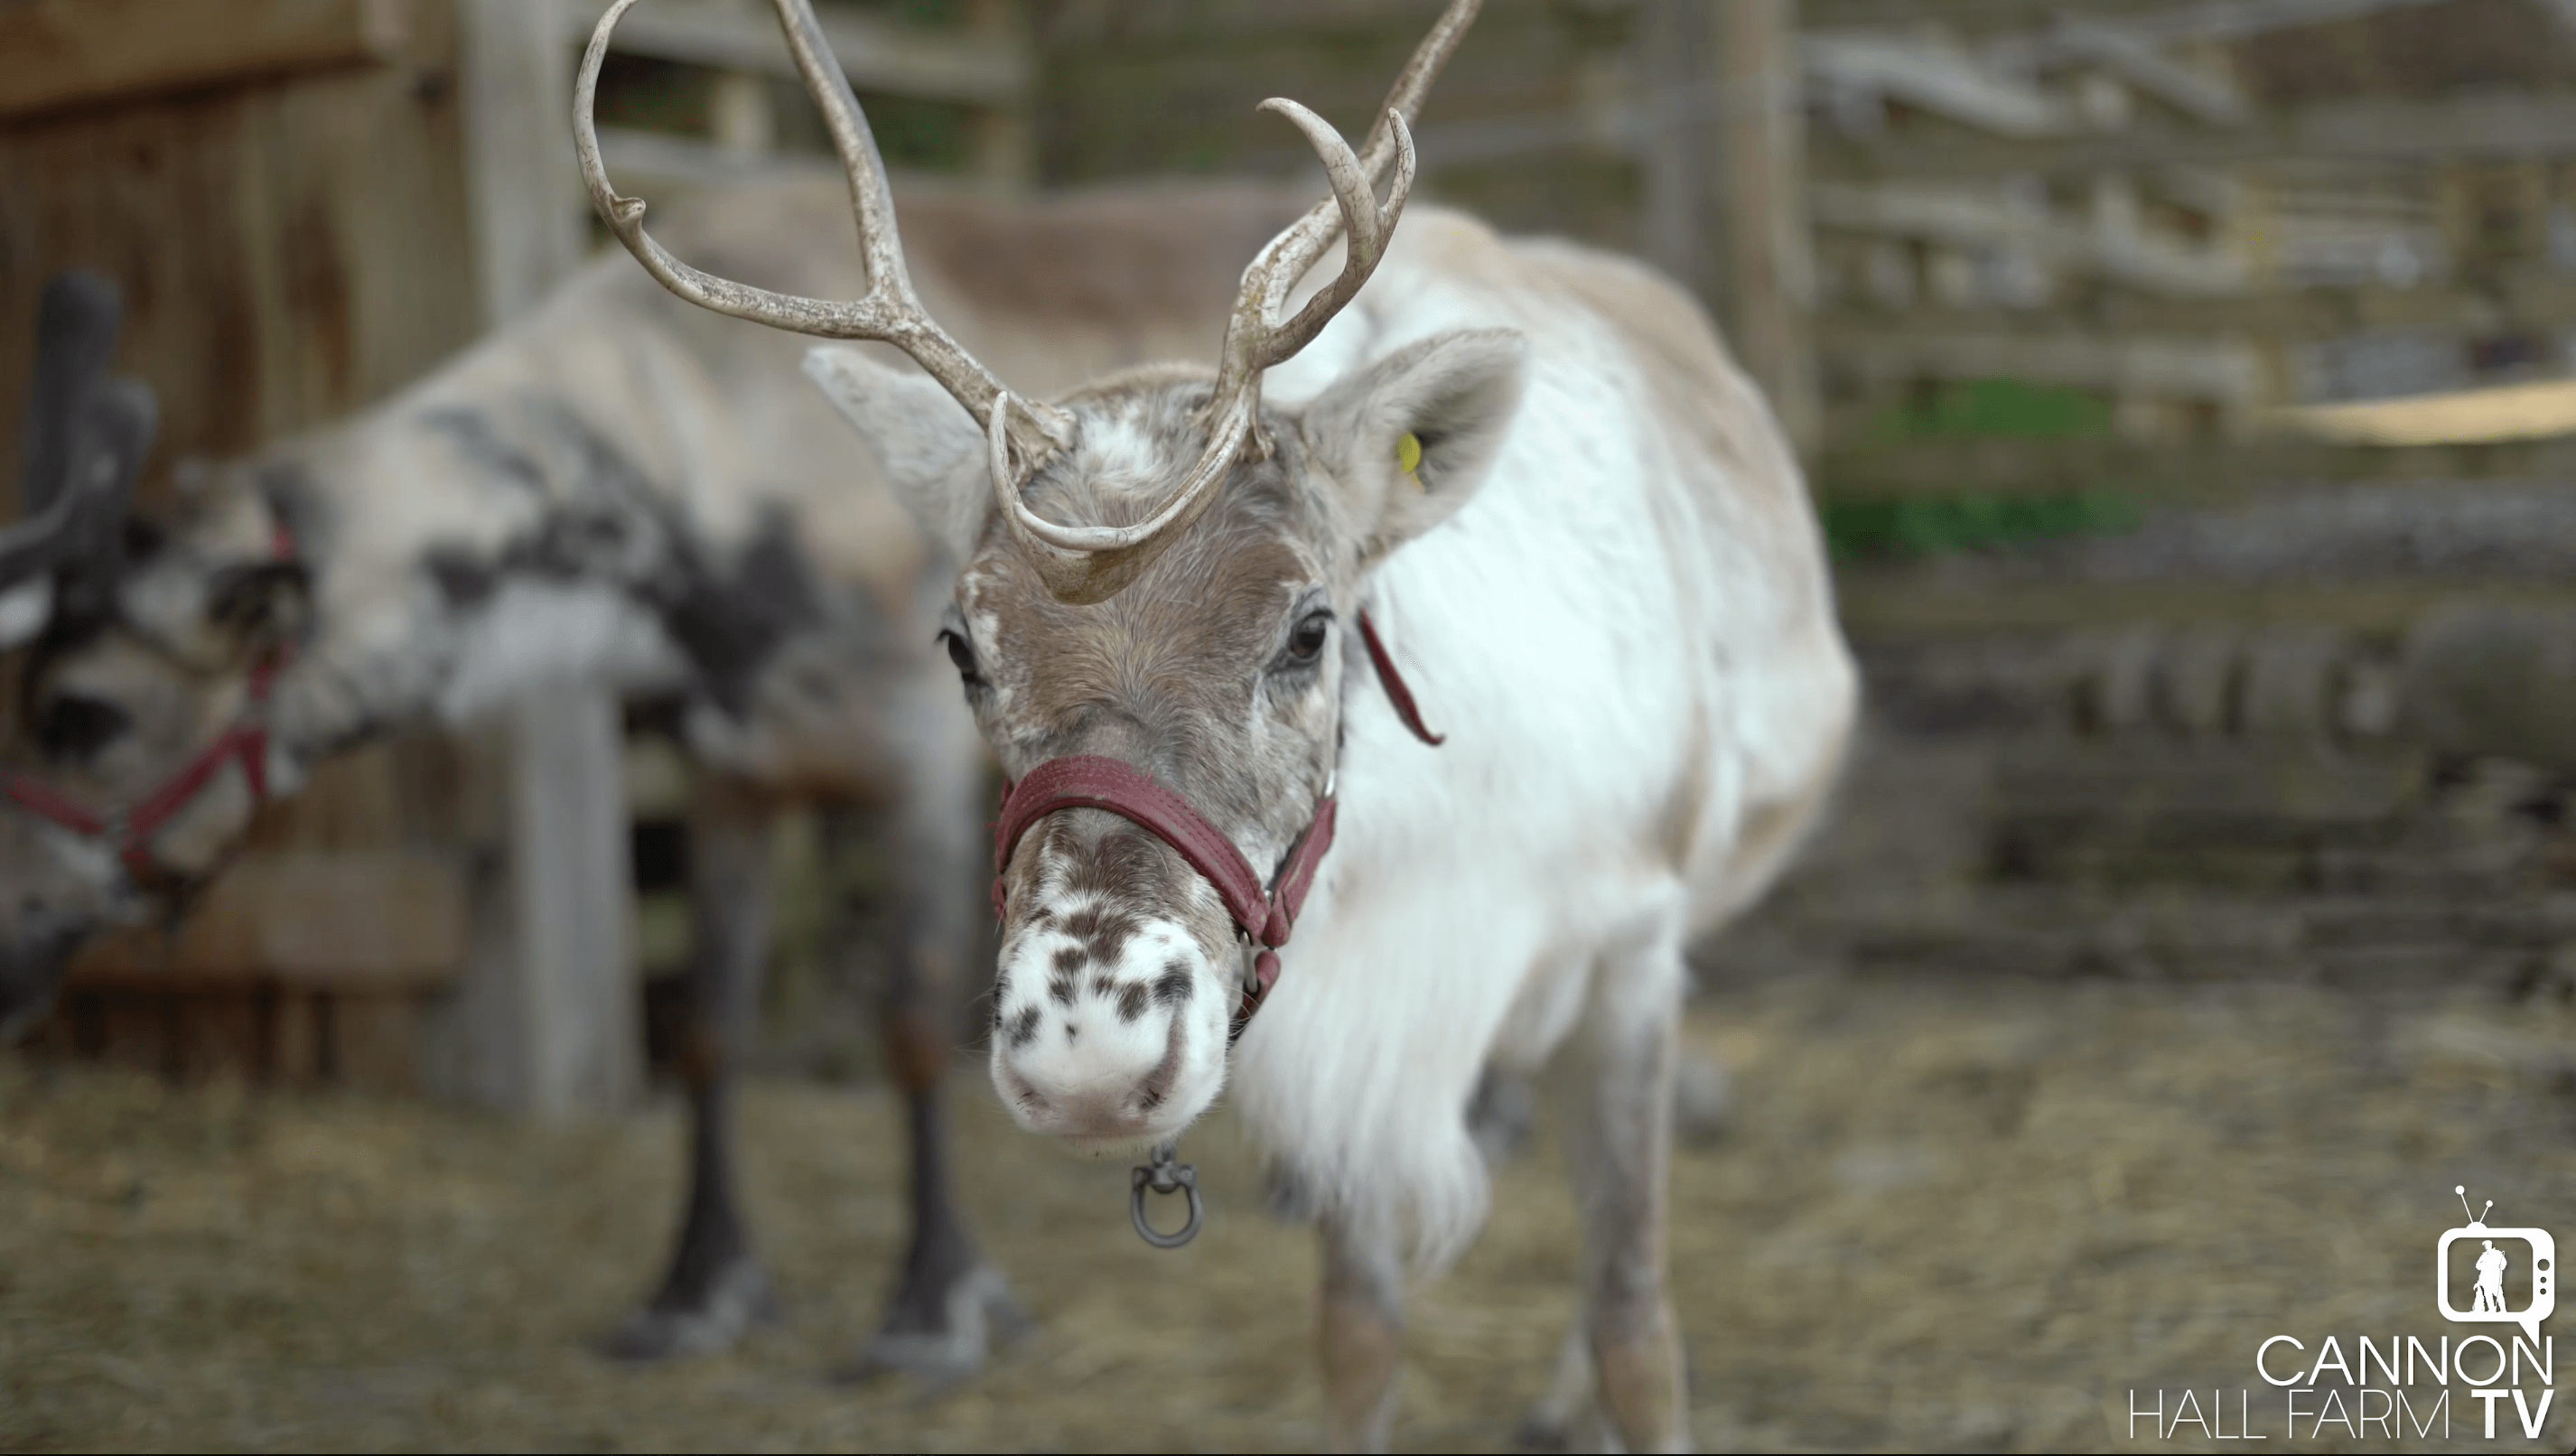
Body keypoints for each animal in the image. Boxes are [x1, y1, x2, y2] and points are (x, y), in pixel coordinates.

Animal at [0, 176, 1315, 1380]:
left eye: (81, 711)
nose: (11, 931)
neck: (683, 497)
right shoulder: (725, 763)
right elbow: (705, 1026)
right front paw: (696, 1289)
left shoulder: (913, 757)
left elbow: (910, 1022)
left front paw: (934, 1305)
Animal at [573, 0, 1859, 1449]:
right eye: (961, 643)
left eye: (1309, 625)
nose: (1091, 1051)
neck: (1445, 870)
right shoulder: (1338, 1042)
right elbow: (1356, 1335)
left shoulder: (1633, 948)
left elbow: (1640, 1319)